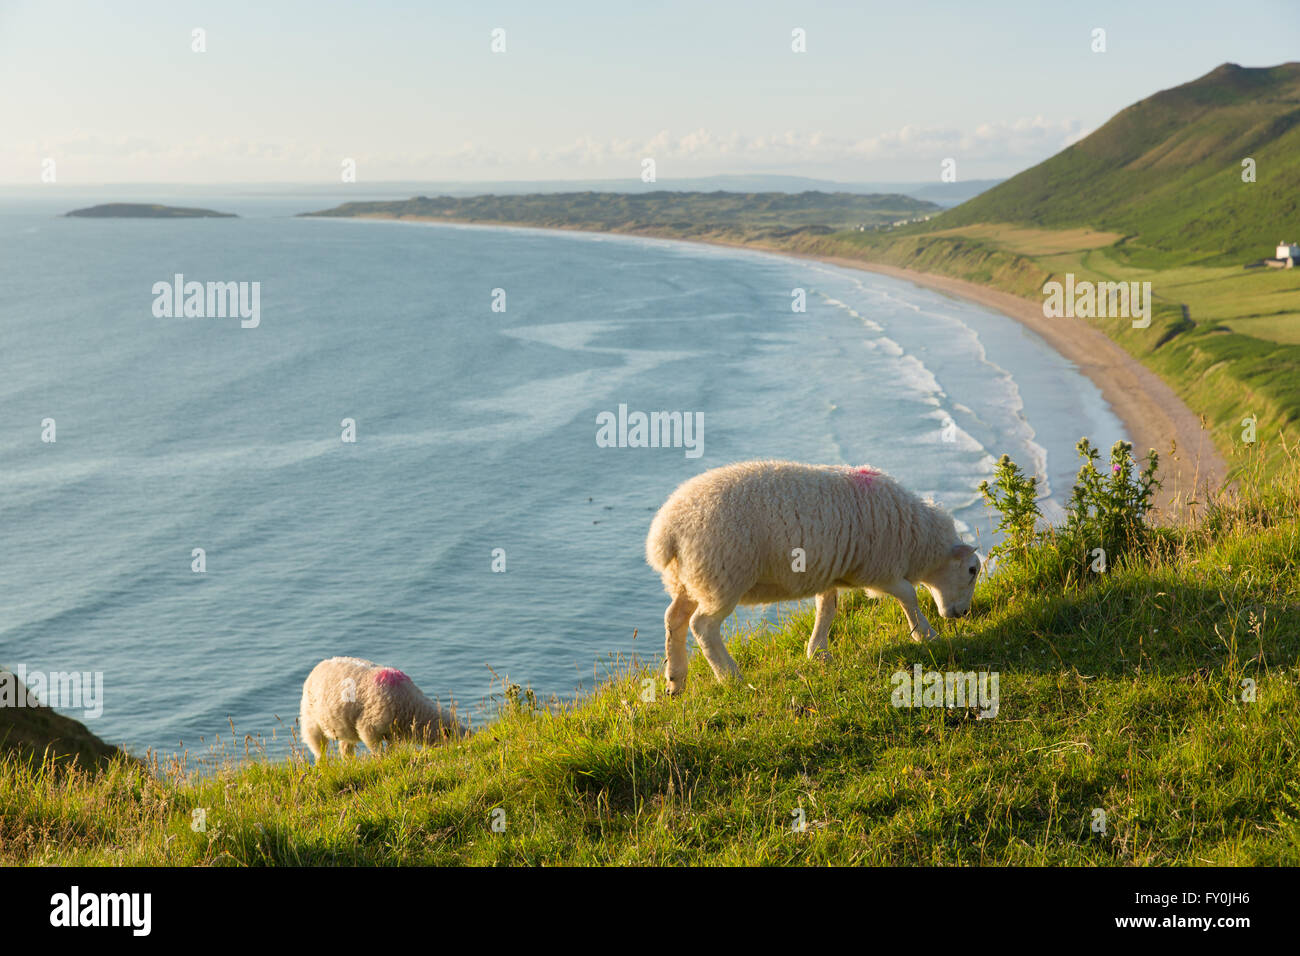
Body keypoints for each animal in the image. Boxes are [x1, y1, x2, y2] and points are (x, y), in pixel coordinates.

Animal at [298, 657, 467, 761]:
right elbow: (377, 749)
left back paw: (350, 763)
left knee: (345, 748)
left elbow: (391, 749)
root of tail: (321, 664)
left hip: (344, 727)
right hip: (310, 720)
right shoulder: (368, 728)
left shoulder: (392, 733)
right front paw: (381, 760)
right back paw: (323, 767)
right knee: (319, 749)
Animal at [646, 460, 981, 694]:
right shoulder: (878, 568)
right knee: (703, 626)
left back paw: (676, 680)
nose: (963, 614)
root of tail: (668, 529)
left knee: (674, 619)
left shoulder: (833, 572)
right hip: (721, 576)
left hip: (691, 579)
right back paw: (730, 676)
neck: (916, 541)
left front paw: (818, 651)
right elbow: (908, 594)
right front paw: (926, 634)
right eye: (972, 570)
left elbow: (827, 608)